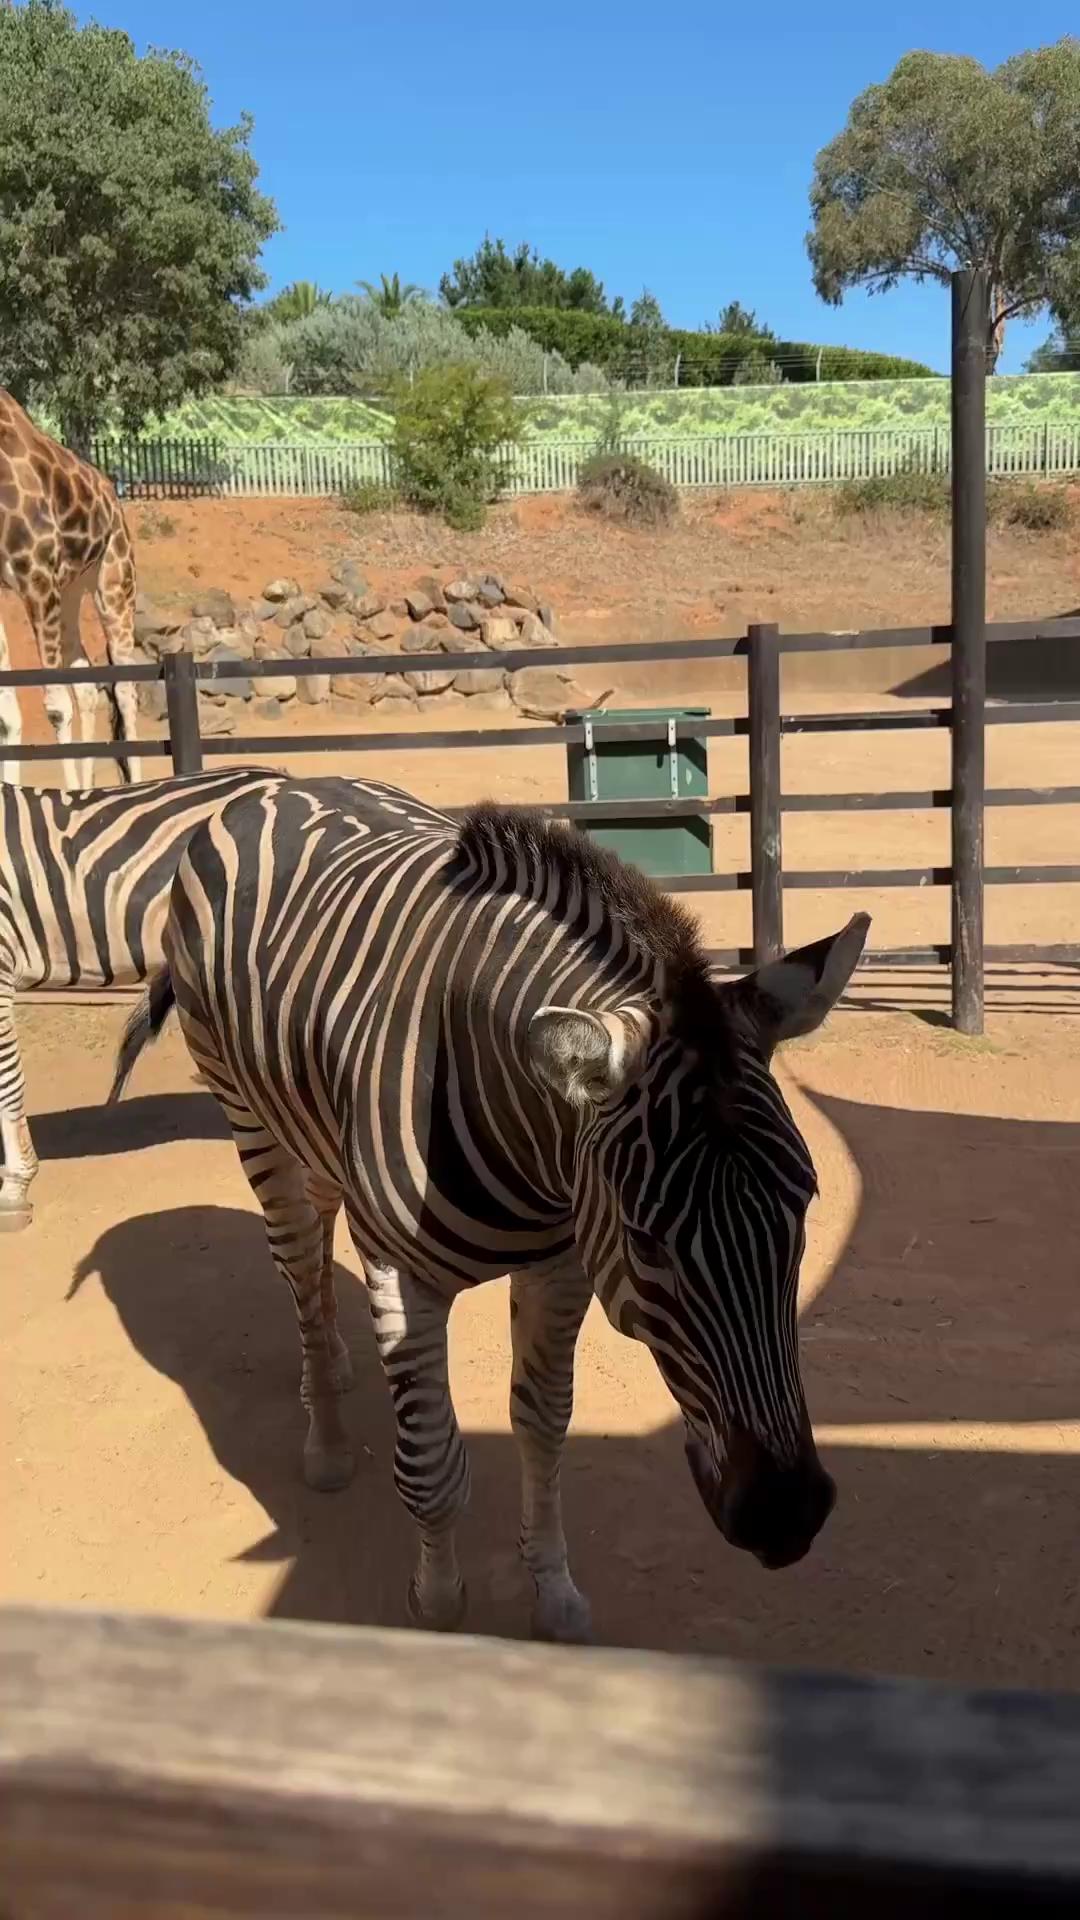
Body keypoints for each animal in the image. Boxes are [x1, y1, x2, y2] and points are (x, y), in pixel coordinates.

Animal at [109, 775, 869, 1641]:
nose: (788, 1518)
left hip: (314, 1118)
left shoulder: (563, 1266)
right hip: (245, 1113)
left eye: (805, 1207)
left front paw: (555, 1592)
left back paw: (332, 1361)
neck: (531, 1135)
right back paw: (326, 1438)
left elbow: (544, 1424)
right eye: (647, 1241)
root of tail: (277, 785)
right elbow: (432, 1463)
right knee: (297, 1255)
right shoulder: (402, 1276)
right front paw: (440, 1608)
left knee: (321, 1222)